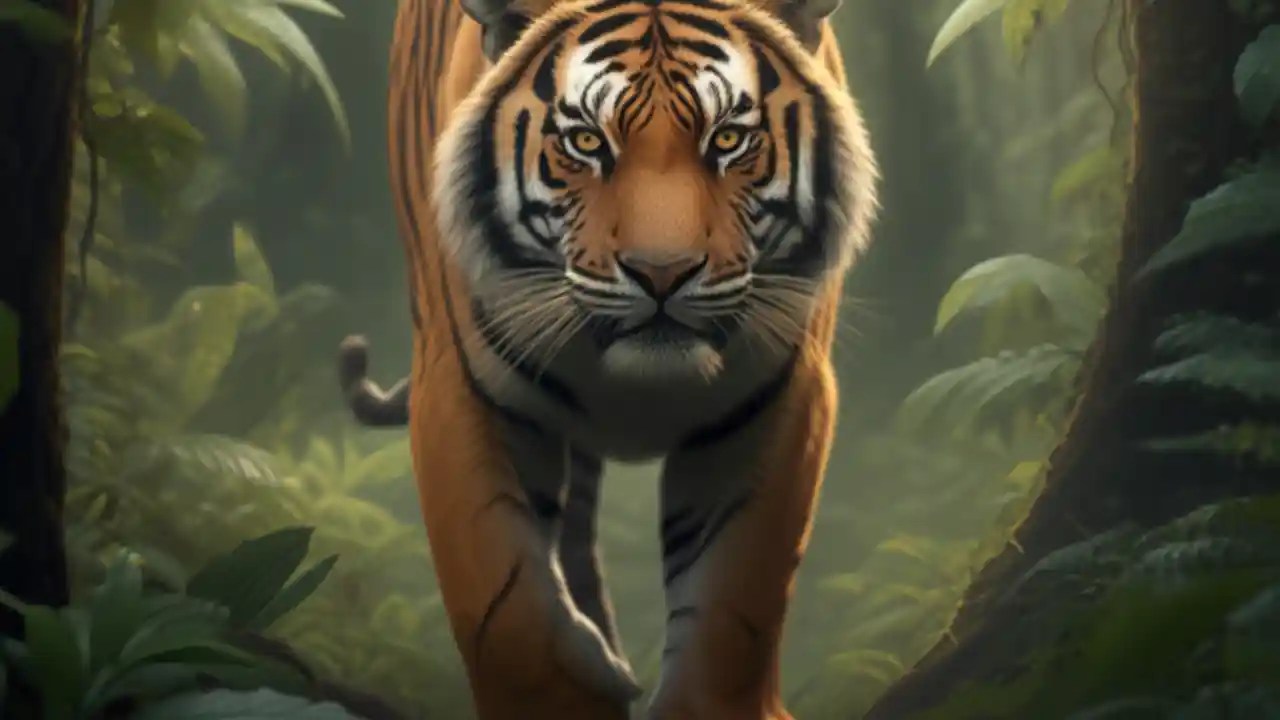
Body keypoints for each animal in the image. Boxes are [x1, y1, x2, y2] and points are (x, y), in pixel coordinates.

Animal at [338, 0, 878, 716]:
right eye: (587, 143)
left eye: (729, 140)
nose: (662, 273)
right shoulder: (460, 388)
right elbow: (507, 600)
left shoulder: (780, 395)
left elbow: (733, 599)